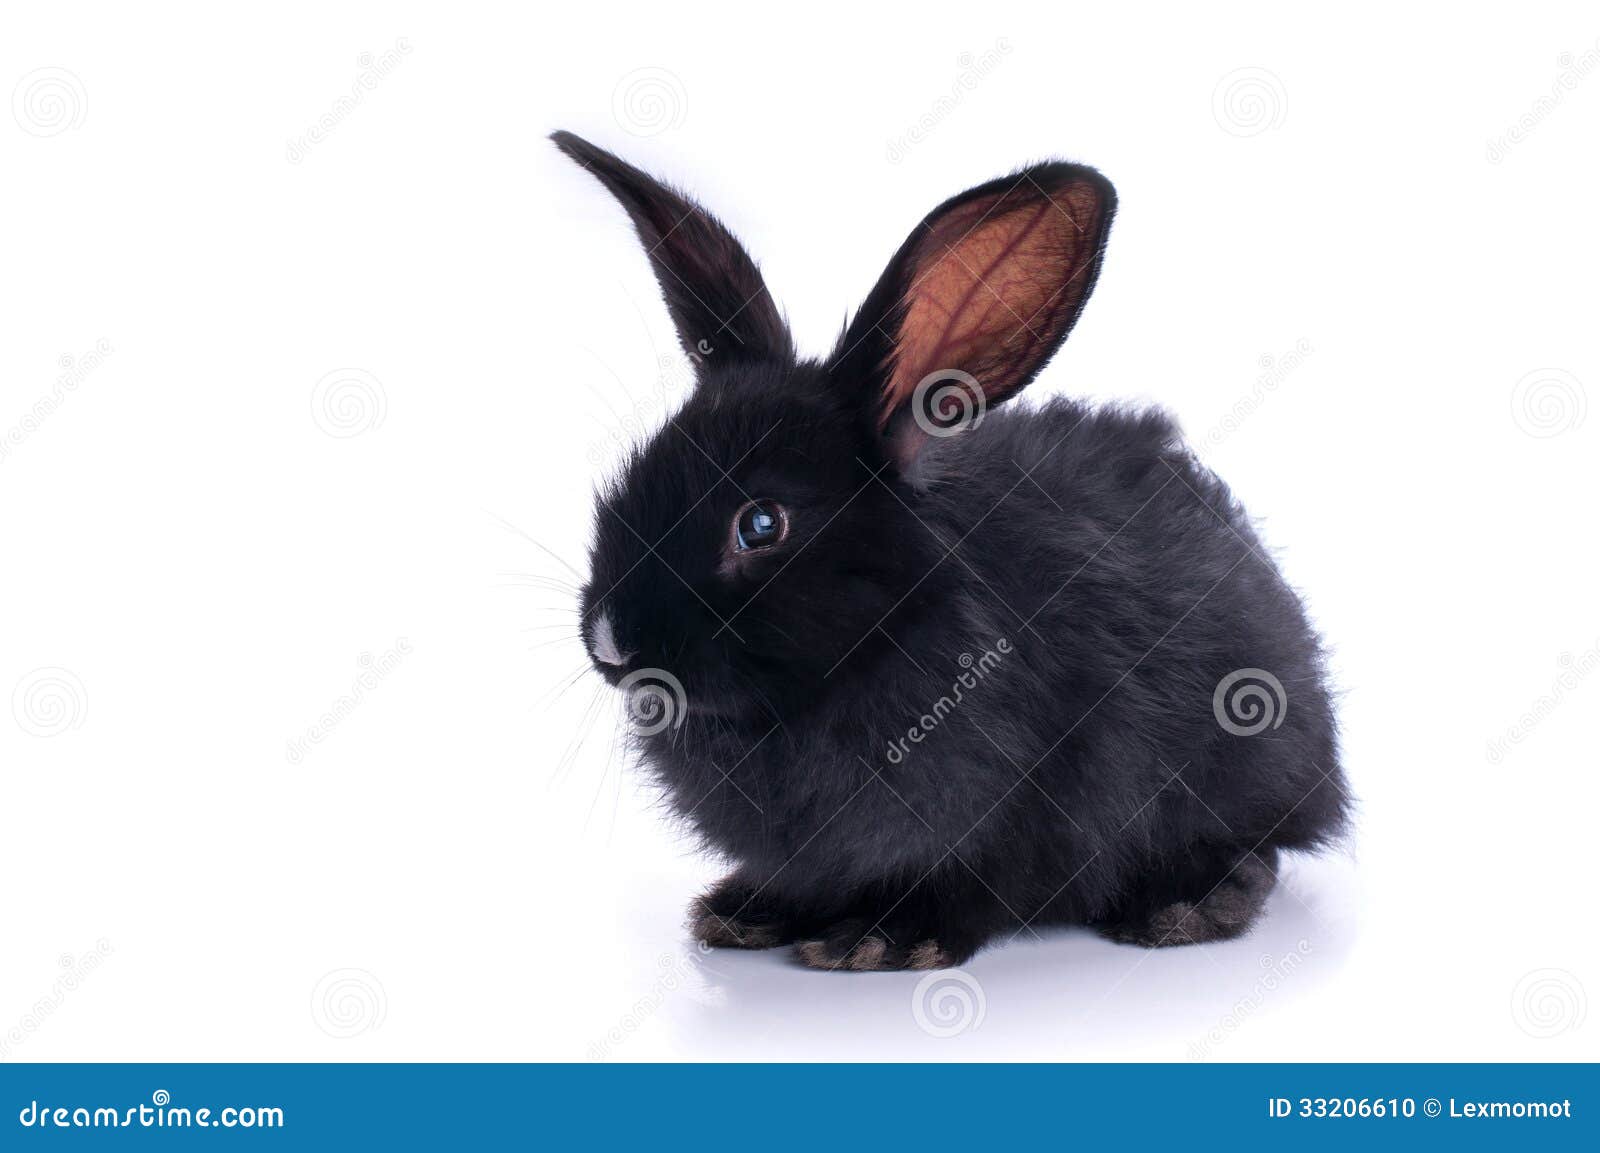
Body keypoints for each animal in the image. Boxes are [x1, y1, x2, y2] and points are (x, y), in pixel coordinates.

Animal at [554, 129, 1348, 971]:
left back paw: (1183, 905)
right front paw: (746, 910)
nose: (610, 641)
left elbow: (978, 885)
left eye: (762, 524)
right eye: (633, 476)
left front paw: (880, 939)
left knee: (1257, 850)